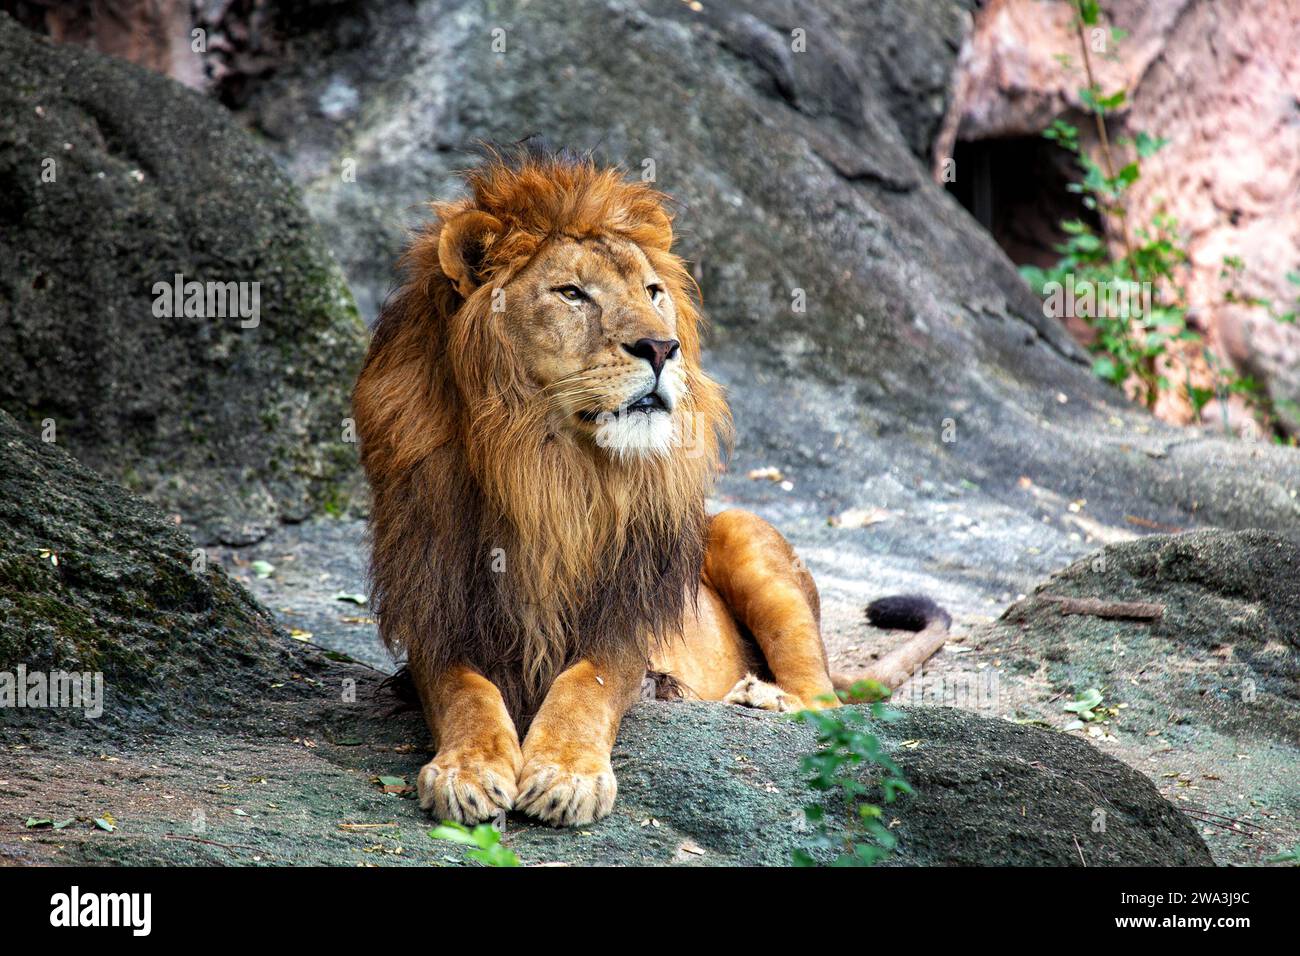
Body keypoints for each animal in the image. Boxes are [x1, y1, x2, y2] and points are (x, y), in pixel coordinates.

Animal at [352, 144, 949, 827]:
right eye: (572, 292)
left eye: (652, 291)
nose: (663, 347)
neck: (543, 466)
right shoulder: (436, 602)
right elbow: (464, 690)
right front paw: (467, 770)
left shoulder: (625, 614)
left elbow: (587, 684)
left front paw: (566, 774)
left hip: (741, 533)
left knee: (826, 699)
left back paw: (762, 697)